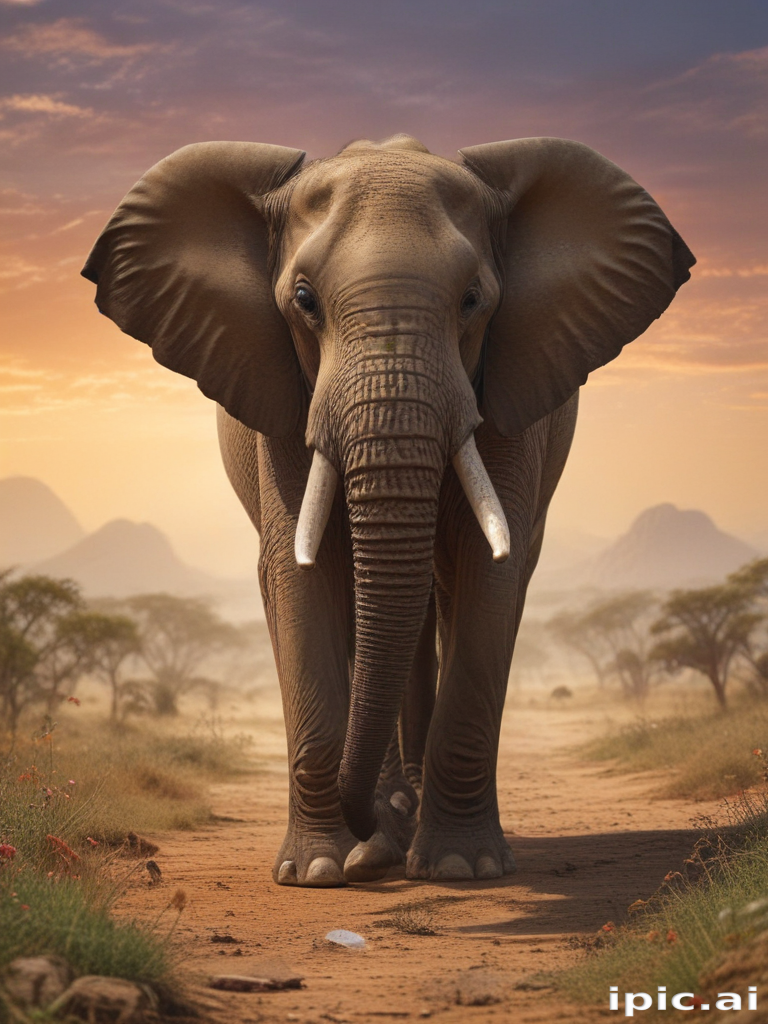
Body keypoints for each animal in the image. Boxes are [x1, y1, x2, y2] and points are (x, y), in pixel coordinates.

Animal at [82, 134, 694, 887]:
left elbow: (491, 574)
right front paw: (321, 870)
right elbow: (300, 569)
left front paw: (460, 865)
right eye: (304, 301)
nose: (379, 826)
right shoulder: (281, 398)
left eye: (473, 300)